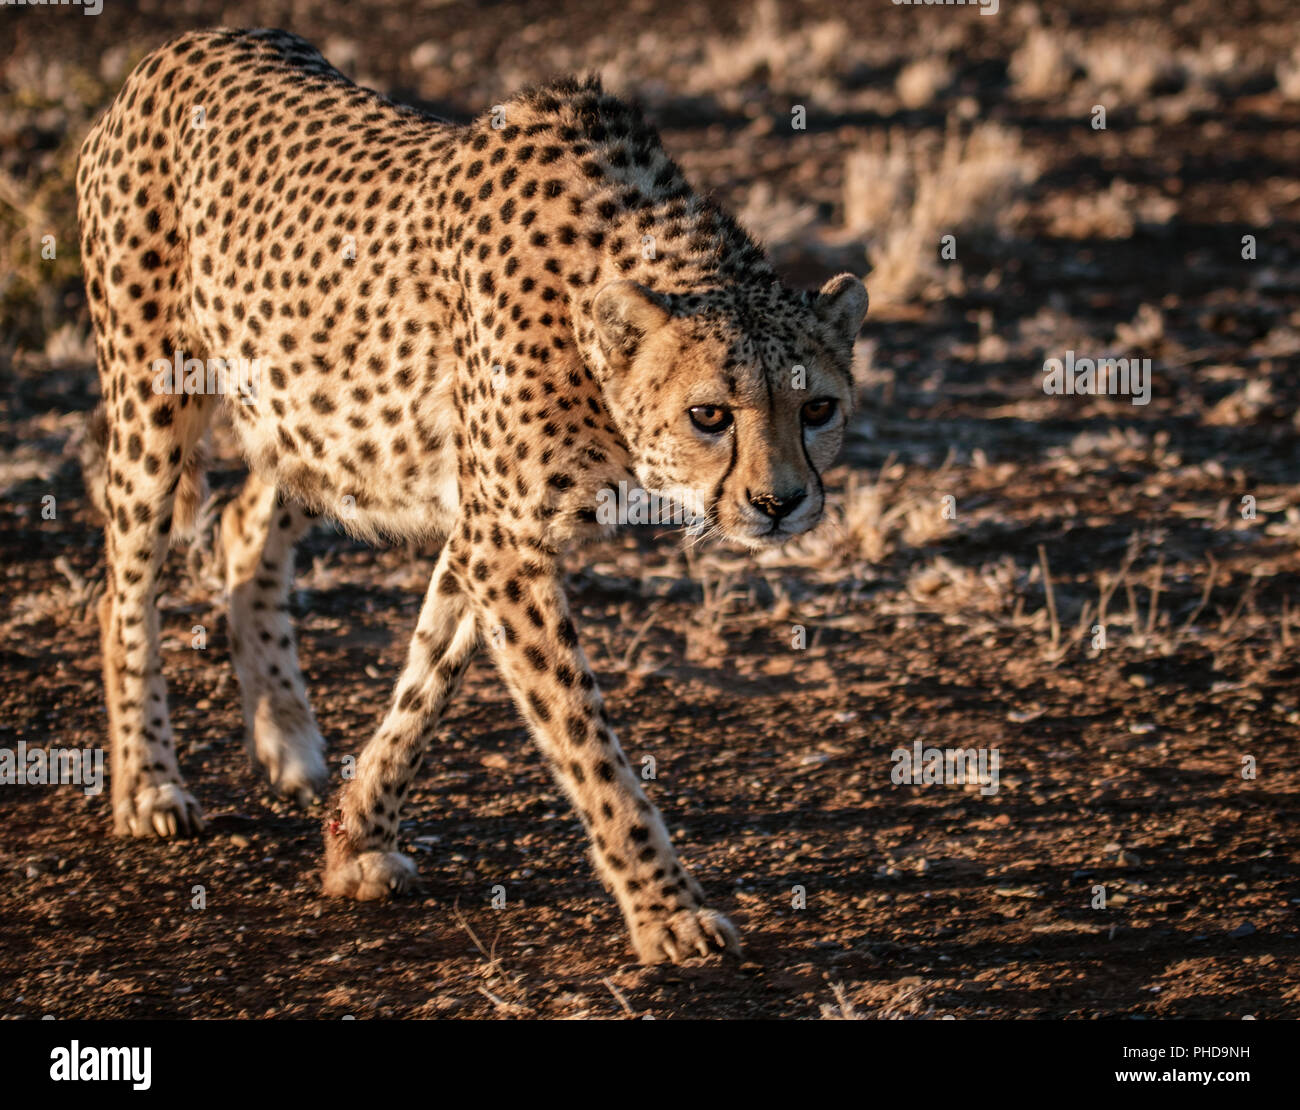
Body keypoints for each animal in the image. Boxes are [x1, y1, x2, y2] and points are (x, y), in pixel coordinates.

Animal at [75, 27, 868, 964]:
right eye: (709, 415)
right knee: (125, 586)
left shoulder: (483, 529)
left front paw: (356, 837)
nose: (780, 503)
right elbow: (583, 739)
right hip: (155, 396)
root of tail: (182, 46)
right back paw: (148, 787)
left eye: (817, 408)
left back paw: (288, 739)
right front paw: (666, 909)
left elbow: (427, 685)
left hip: (320, 417)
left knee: (242, 529)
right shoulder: (505, 540)